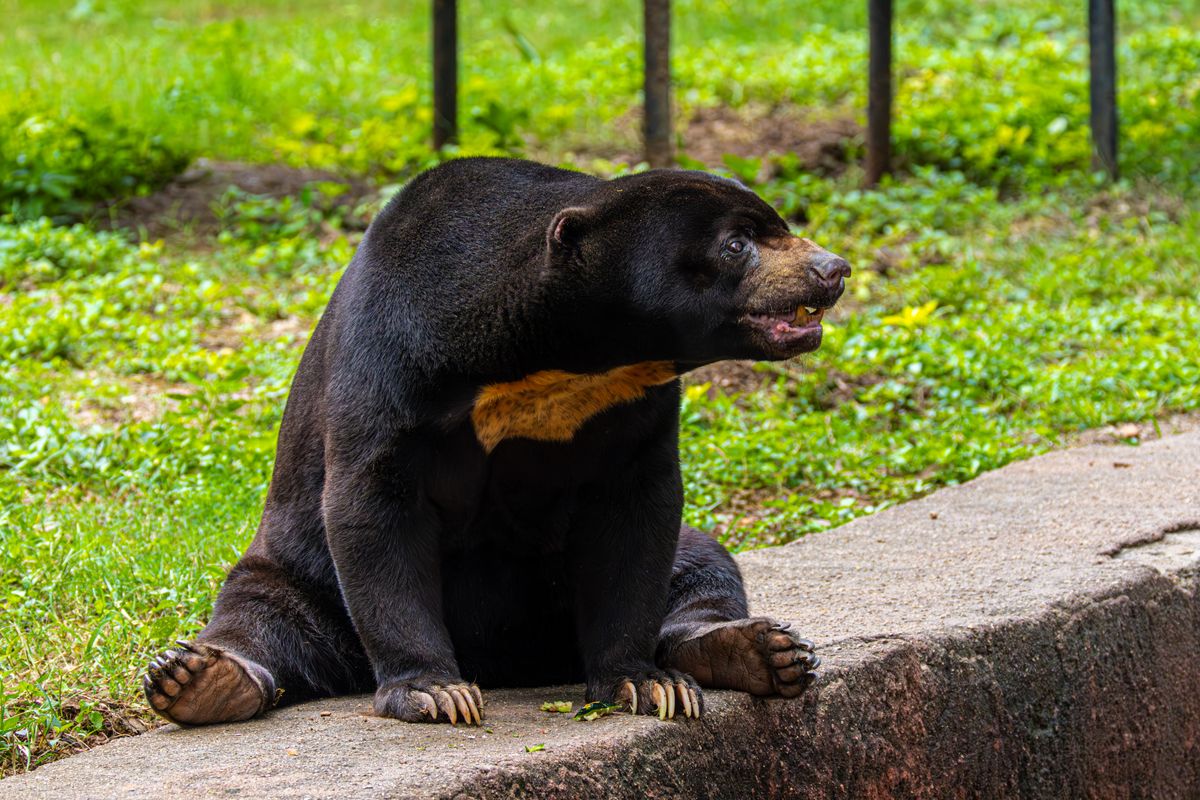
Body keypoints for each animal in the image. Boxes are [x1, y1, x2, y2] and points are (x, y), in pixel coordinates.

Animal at [143, 157, 850, 726]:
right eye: (736, 244)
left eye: (779, 225)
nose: (834, 269)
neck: (561, 358)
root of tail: (514, 660)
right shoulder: (391, 359)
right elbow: (373, 501)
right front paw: (436, 693)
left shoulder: (632, 405)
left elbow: (638, 515)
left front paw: (642, 684)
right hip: (299, 573)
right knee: (260, 613)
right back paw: (199, 678)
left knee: (703, 564)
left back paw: (762, 651)